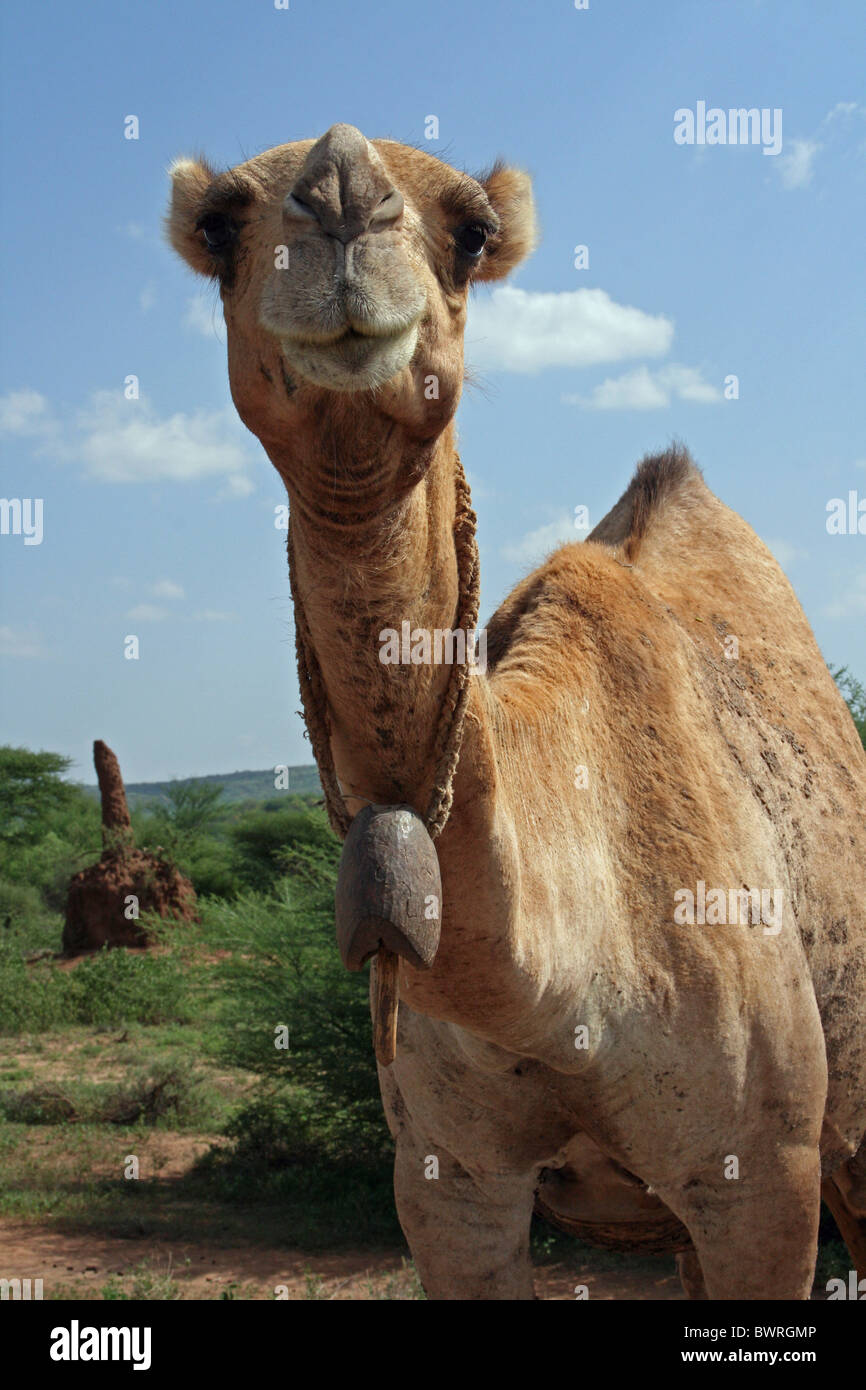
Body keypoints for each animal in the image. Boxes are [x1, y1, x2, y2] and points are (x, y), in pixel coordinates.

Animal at [168, 124, 866, 1299]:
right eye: (221, 227)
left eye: (471, 231)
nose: (341, 195)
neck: (558, 988)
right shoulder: (447, 1182)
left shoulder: (762, 1179)